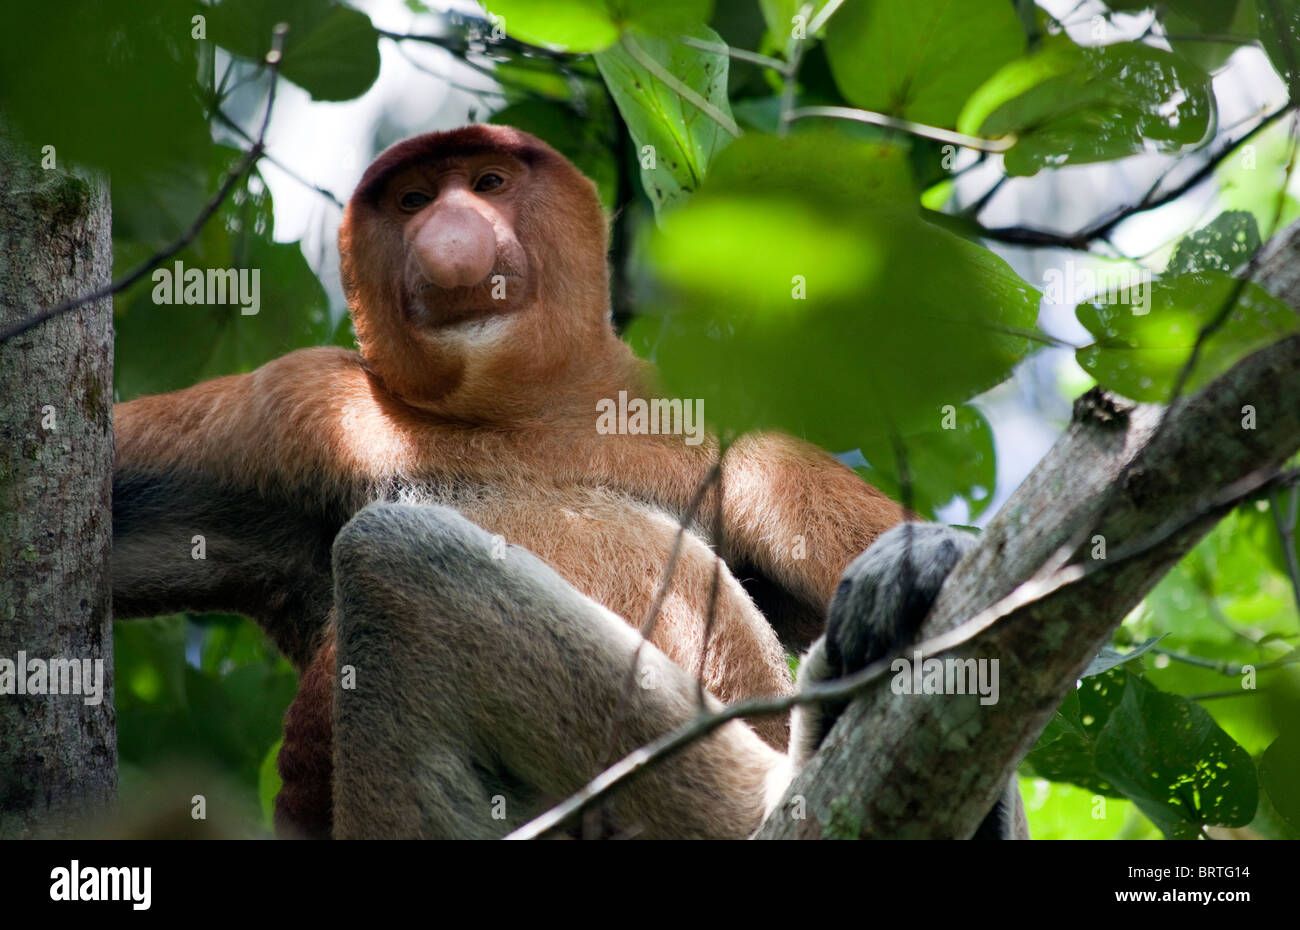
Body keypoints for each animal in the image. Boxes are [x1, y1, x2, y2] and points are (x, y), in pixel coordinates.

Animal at [111, 124, 1025, 839]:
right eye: (412, 200)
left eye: (489, 182)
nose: (450, 228)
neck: (525, 414)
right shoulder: (297, 407)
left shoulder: (745, 446)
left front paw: (917, 557)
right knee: (392, 561)